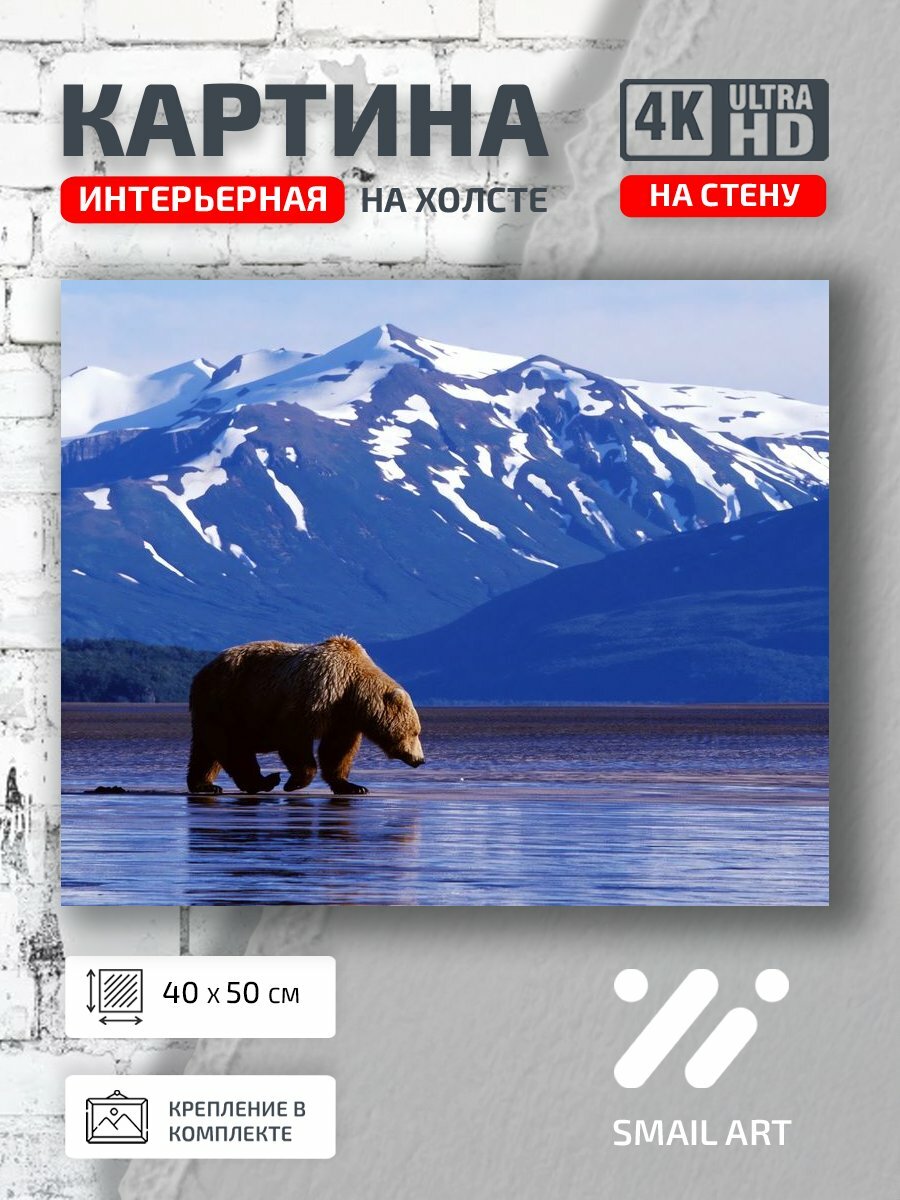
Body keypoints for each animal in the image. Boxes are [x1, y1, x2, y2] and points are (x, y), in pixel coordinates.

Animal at [186, 635, 425, 796]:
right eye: (415, 732)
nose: (420, 759)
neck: (351, 690)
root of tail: (202, 672)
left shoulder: (342, 719)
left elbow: (337, 750)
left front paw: (353, 786)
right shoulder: (318, 695)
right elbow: (293, 735)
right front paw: (295, 782)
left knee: (205, 751)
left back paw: (205, 784)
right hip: (230, 701)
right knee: (233, 745)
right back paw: (264, 781)